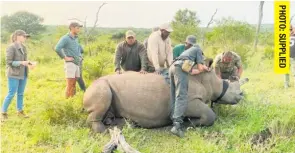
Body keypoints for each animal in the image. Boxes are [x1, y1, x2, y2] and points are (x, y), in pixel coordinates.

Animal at [83, 69, 247, 133]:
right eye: (234, 90)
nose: (242, 95)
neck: (212, 83)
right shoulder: (188, 101)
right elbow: (210, 114)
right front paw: (188, 124)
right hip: (99, 86)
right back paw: (105, 130)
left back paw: (126, 124)